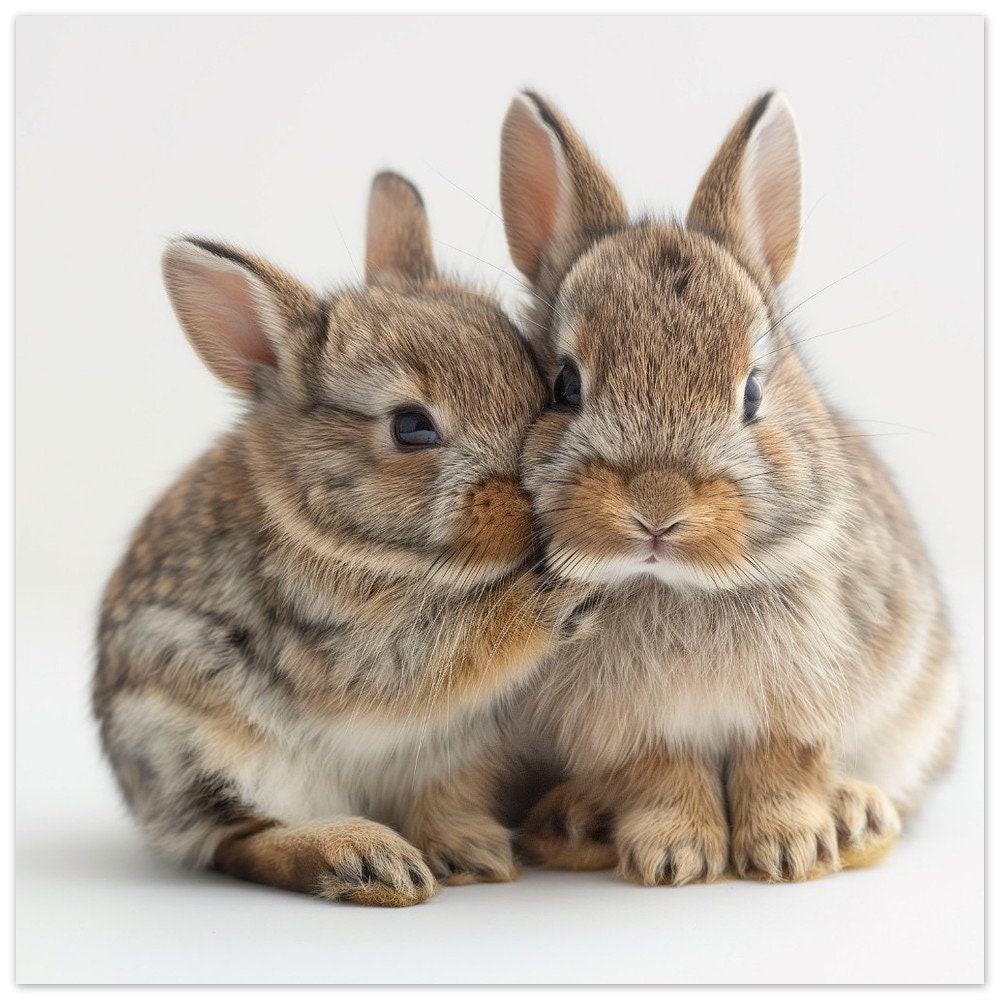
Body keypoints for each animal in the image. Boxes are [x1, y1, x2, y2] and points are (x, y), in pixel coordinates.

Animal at [93, 171, 598, 907]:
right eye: (412, 427)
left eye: (537, 377)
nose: (535, 505)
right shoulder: (336, 645)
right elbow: (451, 654)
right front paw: (559, 591)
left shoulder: (466, 750)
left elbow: (448, 793)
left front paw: (472, 851)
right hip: (188, 736)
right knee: (239, 842)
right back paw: (367, 861)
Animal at [496, 91, 959, 885]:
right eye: (564, 386)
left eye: (752, 392)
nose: (657, 509)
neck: (674, 585)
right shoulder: (632, 730)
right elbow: (661, 777)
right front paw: (678, 857)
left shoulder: (800, 711)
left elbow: (783, 771)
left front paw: (792, 851)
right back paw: (574, 823)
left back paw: (857, 815)